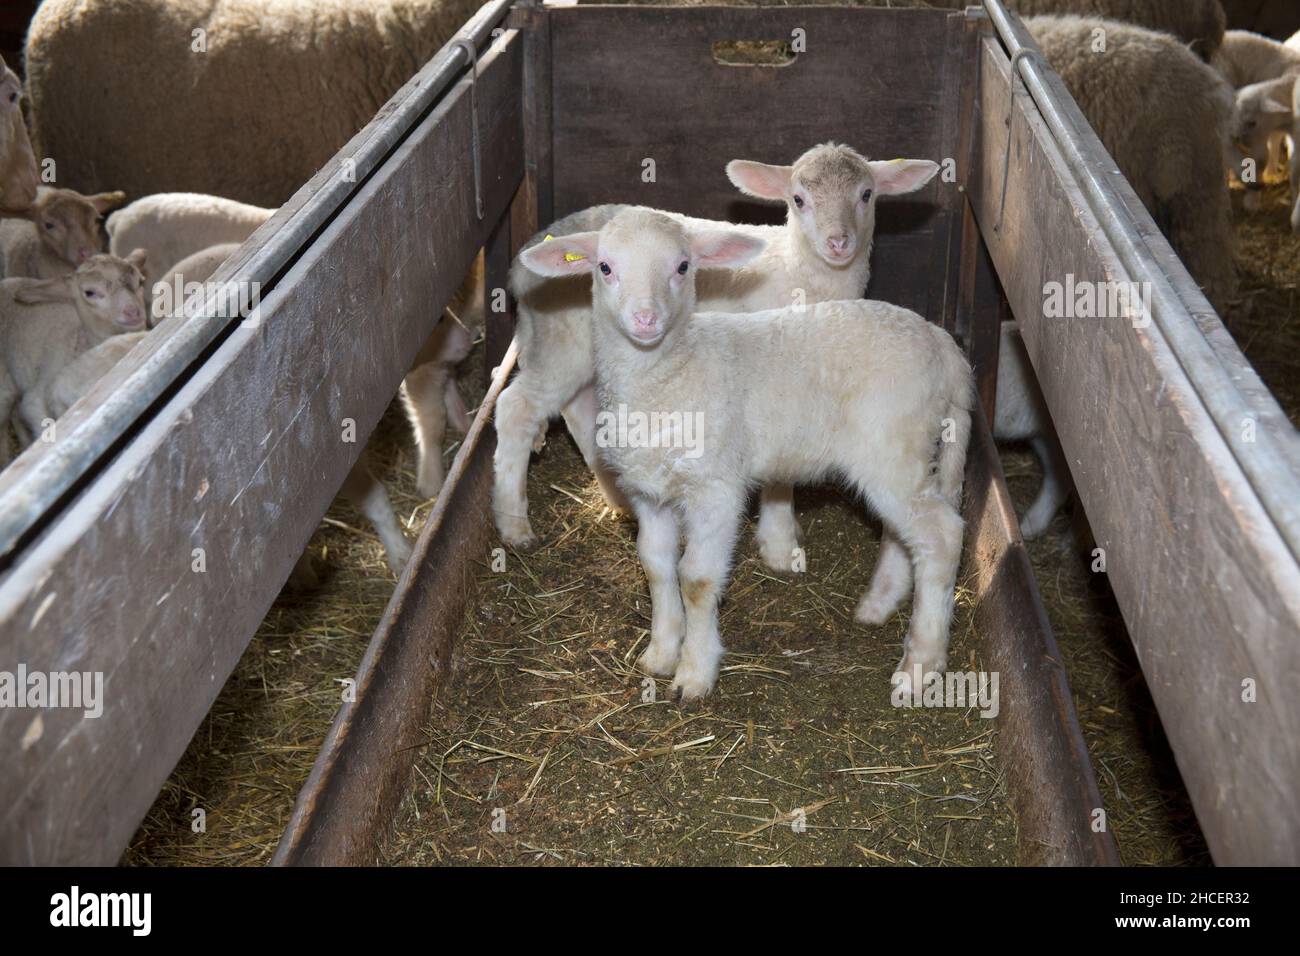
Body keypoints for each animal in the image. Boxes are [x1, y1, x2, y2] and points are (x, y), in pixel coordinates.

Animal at [495, 143, 940, 571]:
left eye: (866, 194)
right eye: (799, 199)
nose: (838, 242)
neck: (797, 270)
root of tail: (522, 262)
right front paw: (780, 545)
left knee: (578, 412)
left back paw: (619, 498)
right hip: (561, 343)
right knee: (517, 407)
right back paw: (515, 525)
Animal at [519, 209, 974, 700]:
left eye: (683, 266)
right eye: (605, 267)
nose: (645, 319)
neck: (669, 374)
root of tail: (944, 347)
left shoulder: (715, 488)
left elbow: (696, 578)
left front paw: (695, 672)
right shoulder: (649, 491)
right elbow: (656, 567)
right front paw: (661, 653)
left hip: (893, 445)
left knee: (942, 536)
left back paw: (921, 664)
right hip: (899, 457)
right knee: (905, 533)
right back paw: (879, 603)